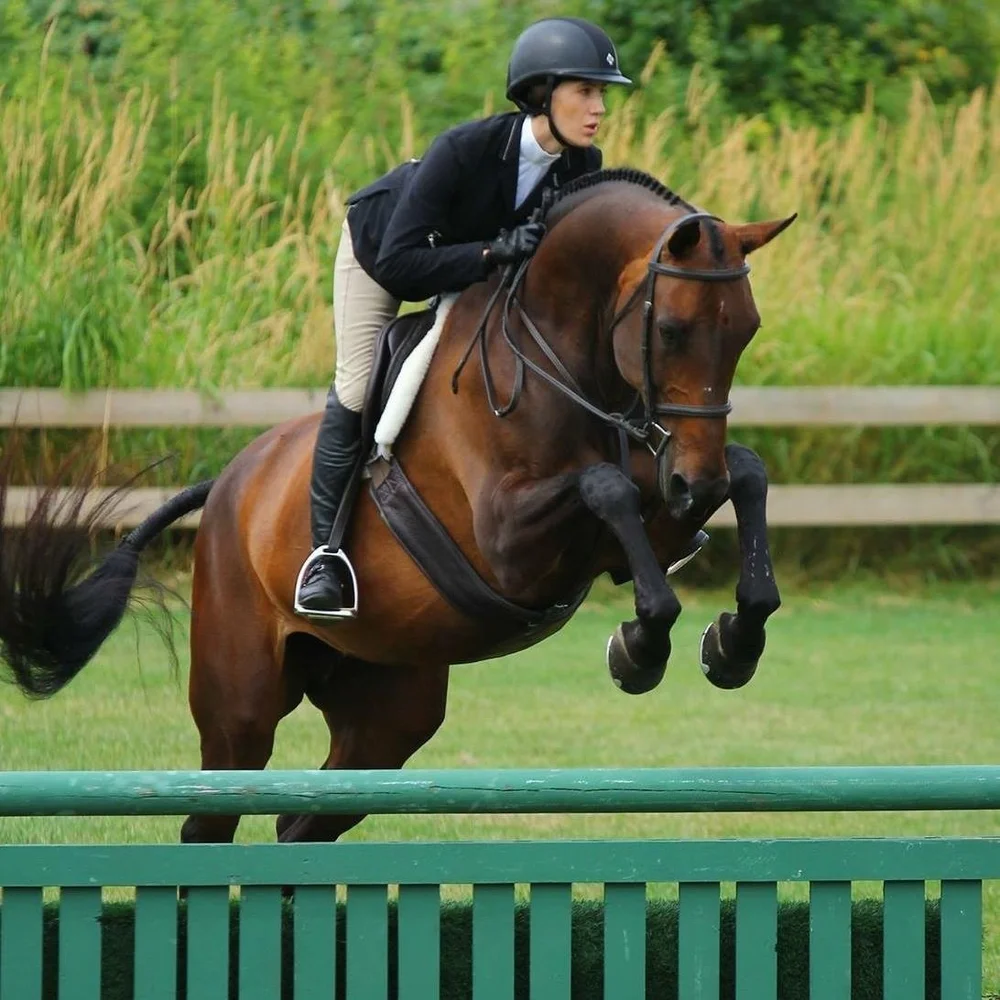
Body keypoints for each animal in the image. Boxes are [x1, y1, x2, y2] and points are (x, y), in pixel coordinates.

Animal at [0, 168, 795, 845]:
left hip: (386, 708)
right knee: (212, 815)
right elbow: (607, 488)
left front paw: (731, 641)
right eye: (671, 331)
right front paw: (642, 646)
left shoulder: (653, 499)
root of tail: (227, 486)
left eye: (748, 329)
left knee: (303, 820)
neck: (559, 361)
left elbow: (744, 475)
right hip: (241, 703)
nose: (695, 483)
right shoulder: (510, 544)